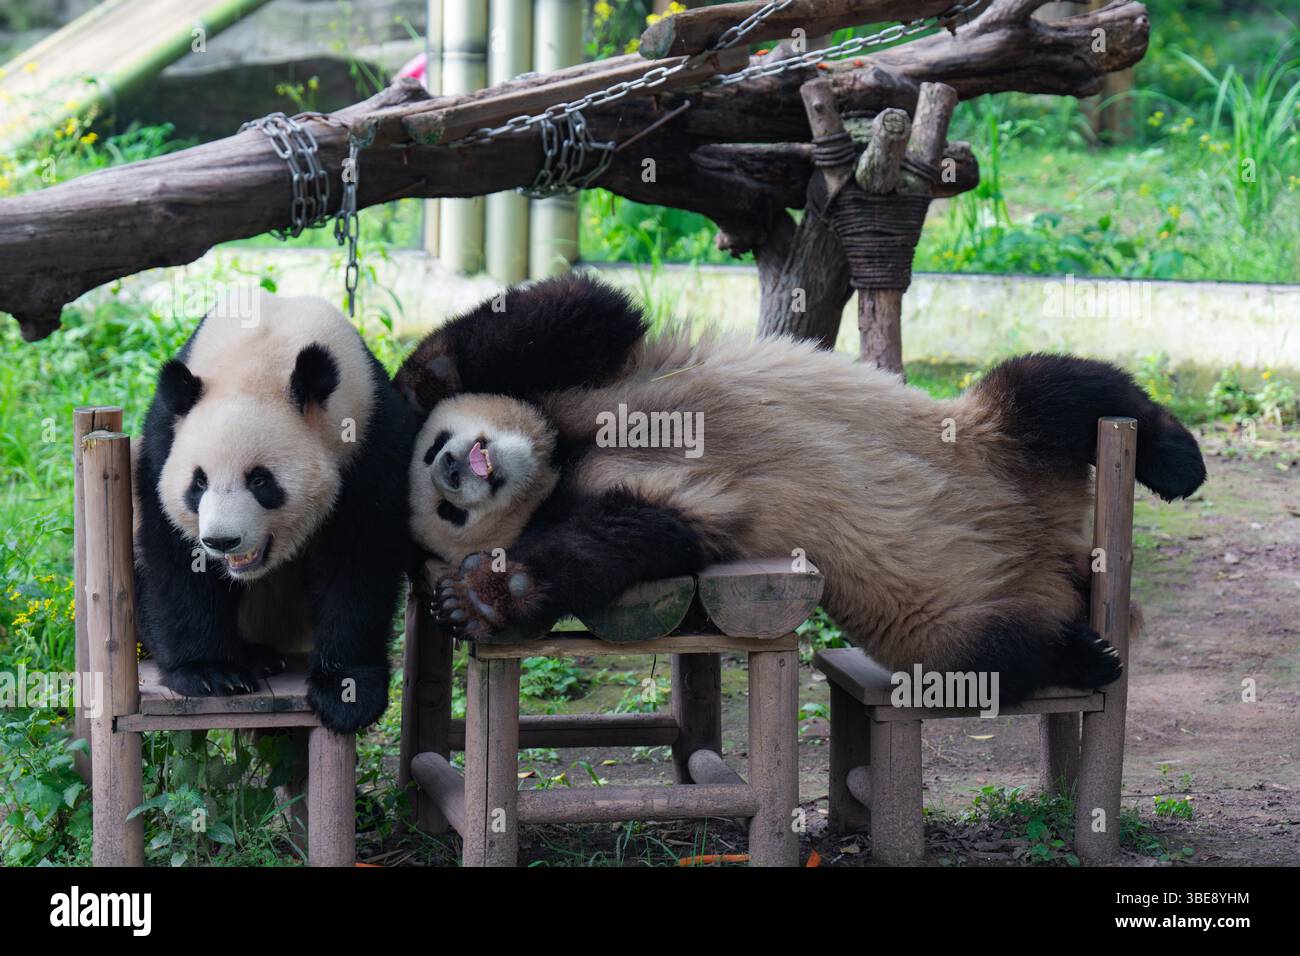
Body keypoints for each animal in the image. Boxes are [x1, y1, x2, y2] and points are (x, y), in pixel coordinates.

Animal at [135, 290, 417, 733]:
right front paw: (209, 671)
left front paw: (346, 691)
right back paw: (252, 656)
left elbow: (358, 558)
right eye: (198, 483)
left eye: (260, 480)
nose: (221, 541)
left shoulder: (370, 437)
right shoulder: (165, 438)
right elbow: (174, 555)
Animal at [395, 275, 1207, 704]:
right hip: (947, 616)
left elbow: (582, 309)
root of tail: (1057, 544)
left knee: (1060, 389)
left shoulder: (604, 377)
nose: (450, 467)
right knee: (986, 656)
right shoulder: (660, 502)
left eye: (436, 450)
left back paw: (1177, 462)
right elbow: (628, 539)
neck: (563, 458)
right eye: (448, 512)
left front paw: (423, 381)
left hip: (987, 434)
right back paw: (1082, 654)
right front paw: (481, 596)